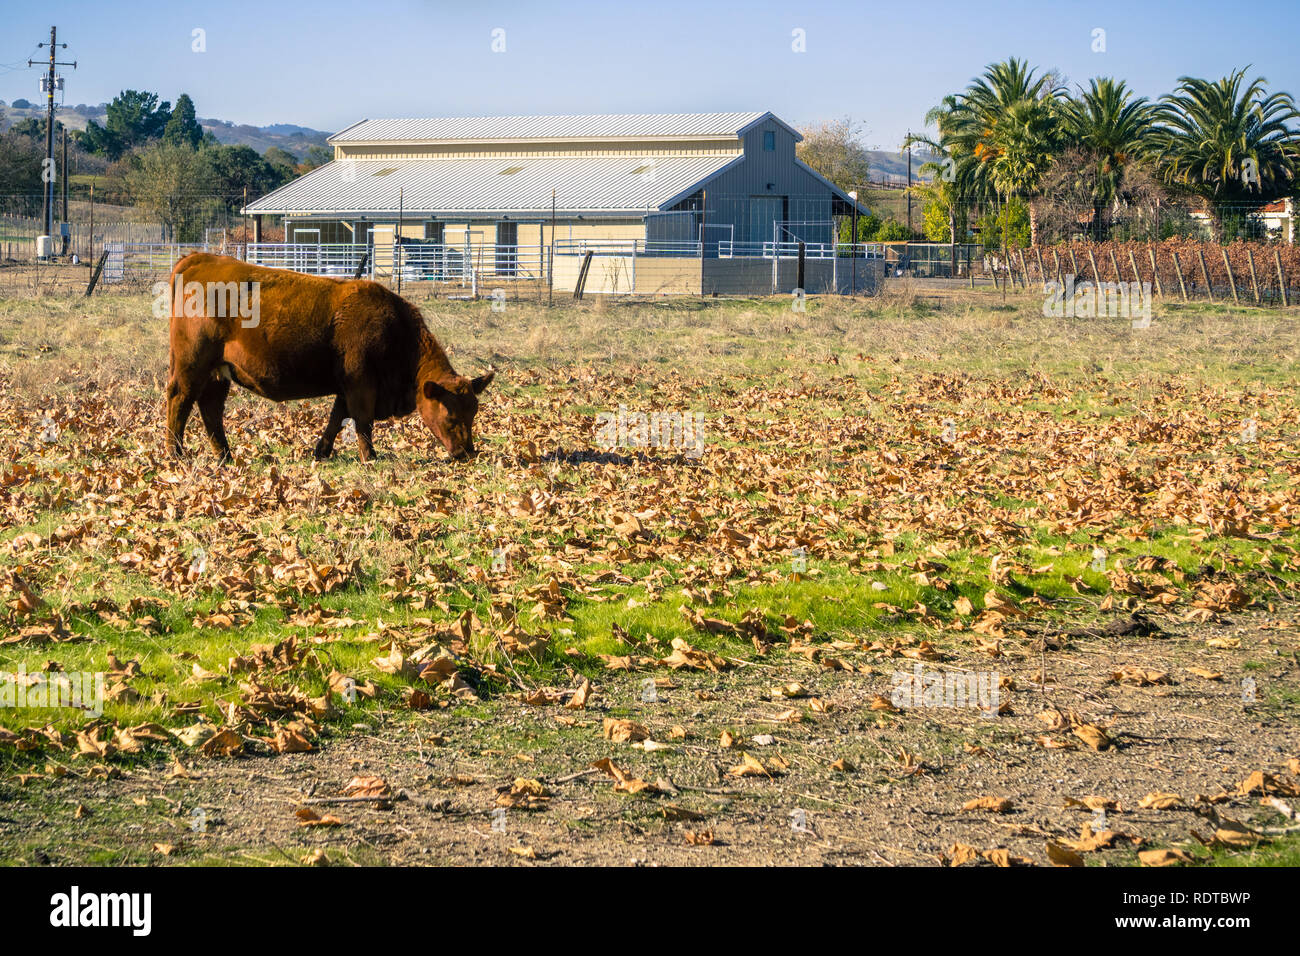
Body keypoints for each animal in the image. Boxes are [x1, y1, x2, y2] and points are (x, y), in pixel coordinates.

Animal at [163, 253, 493, 463]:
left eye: (473, 413)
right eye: (451, 414)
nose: (467, 453)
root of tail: (198, 259)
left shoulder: (347, 388)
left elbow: (336, 419)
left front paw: (321, 451)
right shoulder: (361, 384)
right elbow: (362, 422)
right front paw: (369, 457)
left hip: (218, 372)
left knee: (210, 409)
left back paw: (225, 456)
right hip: (192, 365)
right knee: (180, 401)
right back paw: (176, 454)